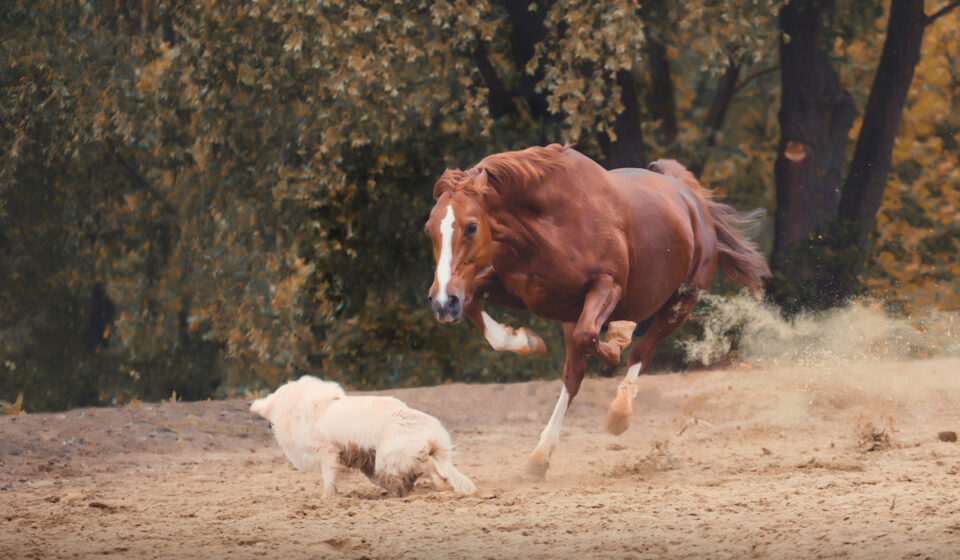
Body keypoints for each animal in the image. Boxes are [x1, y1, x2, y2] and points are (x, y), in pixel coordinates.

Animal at [424, 144, 770, 478]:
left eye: (471, 227)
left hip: (681, 302)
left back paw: (620, 410)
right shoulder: (518, 292)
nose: (442, 302)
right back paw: (540, 457)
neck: (548, 225)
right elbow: (477, 308)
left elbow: (592, 337)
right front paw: (528, 341)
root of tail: (691, 199)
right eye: (429, 228)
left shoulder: (607, 286)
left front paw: (615, 343)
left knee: (641, 351)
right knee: (575, 374)